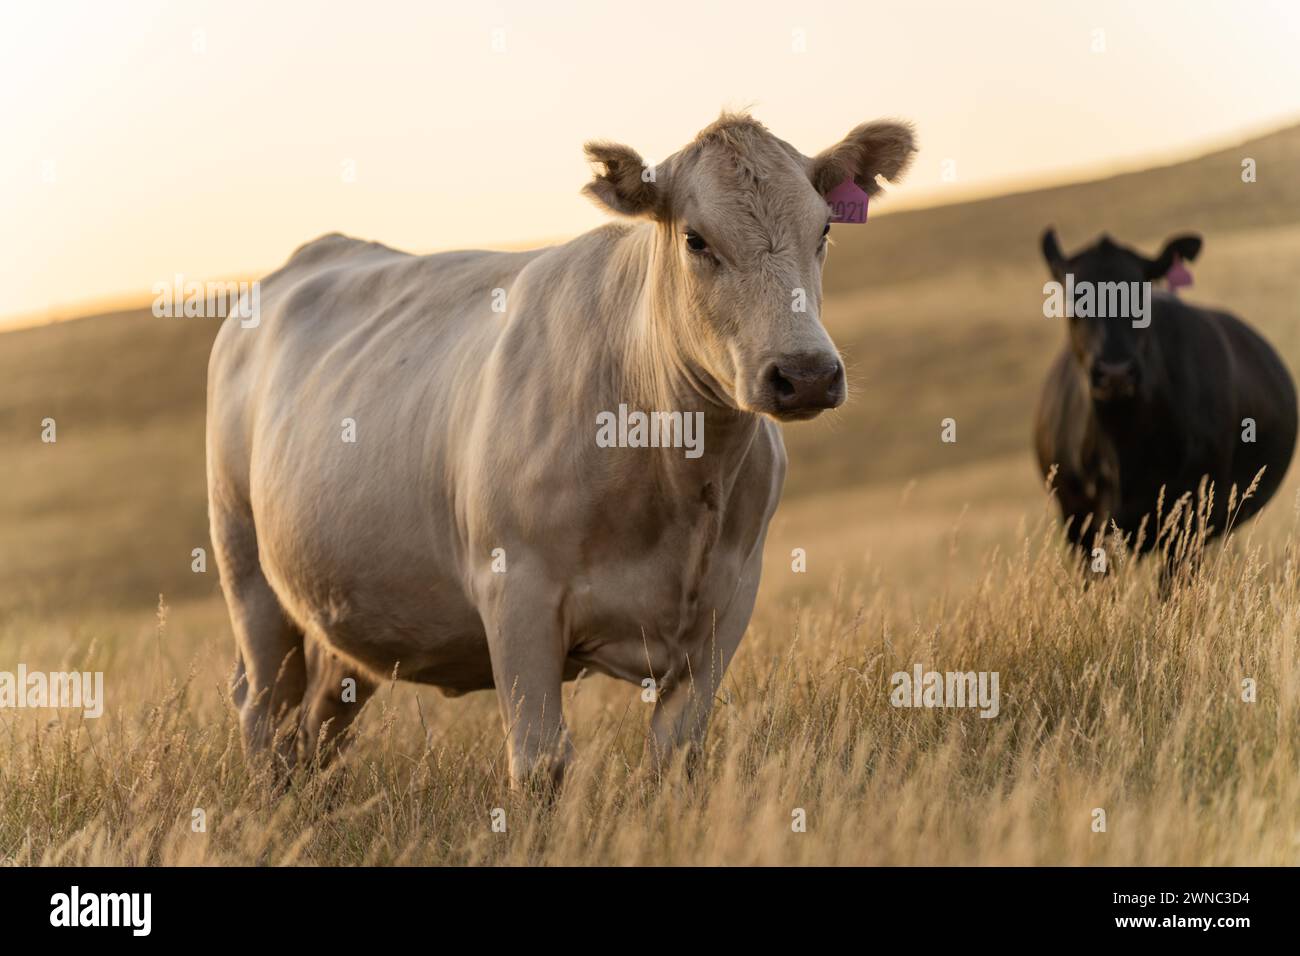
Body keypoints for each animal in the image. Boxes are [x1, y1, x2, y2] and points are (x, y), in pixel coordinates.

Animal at [206, 112, 916, 788]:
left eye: (823, 230)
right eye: (696, 239)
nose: (806, 373)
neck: (678, 478)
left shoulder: (729, 600)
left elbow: (674, 757)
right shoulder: (516, 592)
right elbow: (540, 765)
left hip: (343, 613)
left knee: (319, 721)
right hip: (248, 574)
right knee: (263, 710)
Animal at [1034, 229, 1297, 580]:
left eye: (1141, 298)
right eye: (1075, 300)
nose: (1115, 373)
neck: (1122, 447)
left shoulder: (1192, 509)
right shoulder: (1078, 518)